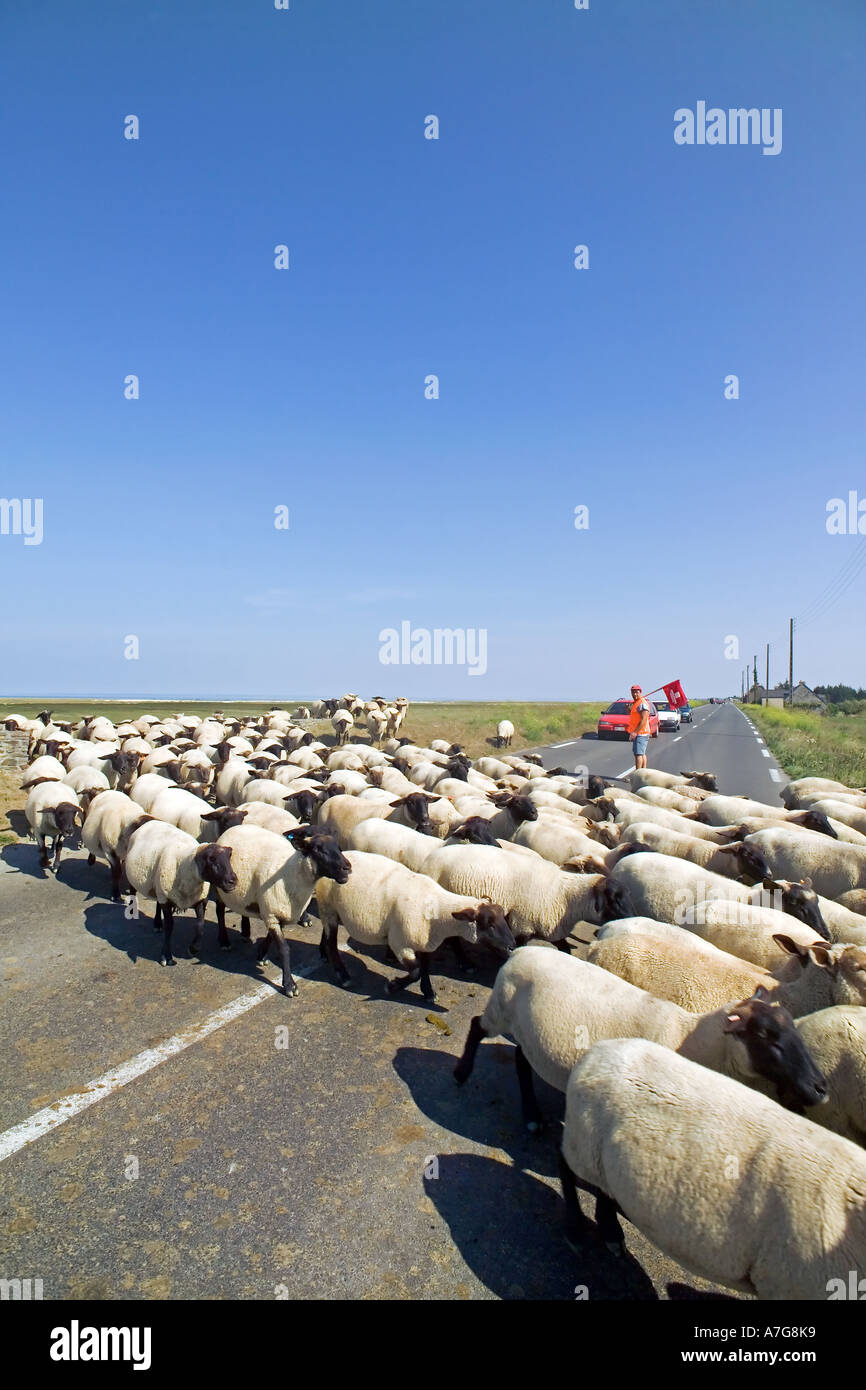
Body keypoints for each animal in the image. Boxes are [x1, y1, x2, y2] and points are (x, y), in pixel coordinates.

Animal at [123, 821, 238, 966]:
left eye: (229, 857)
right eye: (211, 859)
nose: (232, 881)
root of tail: (151, 821)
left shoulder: (199, 899)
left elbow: (200, 926)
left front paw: (193, 949)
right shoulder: (166, 899)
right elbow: (169, 926)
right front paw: (166, 956)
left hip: (158, 883)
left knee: (157, 902)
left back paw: (157, 923)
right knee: (133, 890)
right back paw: (133, 911)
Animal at [211, 825, 351, 996]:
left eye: (338, 847)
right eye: (318, 850)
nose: (347, 867)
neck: (292, 874)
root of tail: (233, 828)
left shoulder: (280, 912)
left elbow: (271, 938)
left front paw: (261, 954)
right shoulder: (272, 914)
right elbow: (284, 949)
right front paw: (289, 985)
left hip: (244, 893)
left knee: (243, 908)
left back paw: (245, 931)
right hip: (219, 886)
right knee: (219, 911)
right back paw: (224, 941)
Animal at [315, 851, 515, 998]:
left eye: (503, 917)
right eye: (488, 923)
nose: (512, 945)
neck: (437, 909)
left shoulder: (423, 940)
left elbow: (425, 966)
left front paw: (428, 992)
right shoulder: (399, 943)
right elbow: (416, 971)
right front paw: (393, 986)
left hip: (332, 911)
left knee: (325, 934)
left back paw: (323, 954)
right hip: (328, 906)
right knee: (331, 941)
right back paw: (342, 975)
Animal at [453, 947, 826, 1131]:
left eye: (796, 1030)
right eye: (765, 1035)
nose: (821, 1088)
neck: (687, 1036)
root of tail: (519, 951)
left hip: (528, 1027)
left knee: (521, 1059)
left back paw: (532, 1115)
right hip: (499, 1007)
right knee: (476, 1025)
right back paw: (462, 1073)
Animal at [558, 1036, 866, 1300]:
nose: (820, 1089)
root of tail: (597, 1050)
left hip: (595, 1152)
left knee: (603, 1188)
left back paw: (611, 1232)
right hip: (581, 1140)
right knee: (564, 1166)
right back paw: (574, 1231)